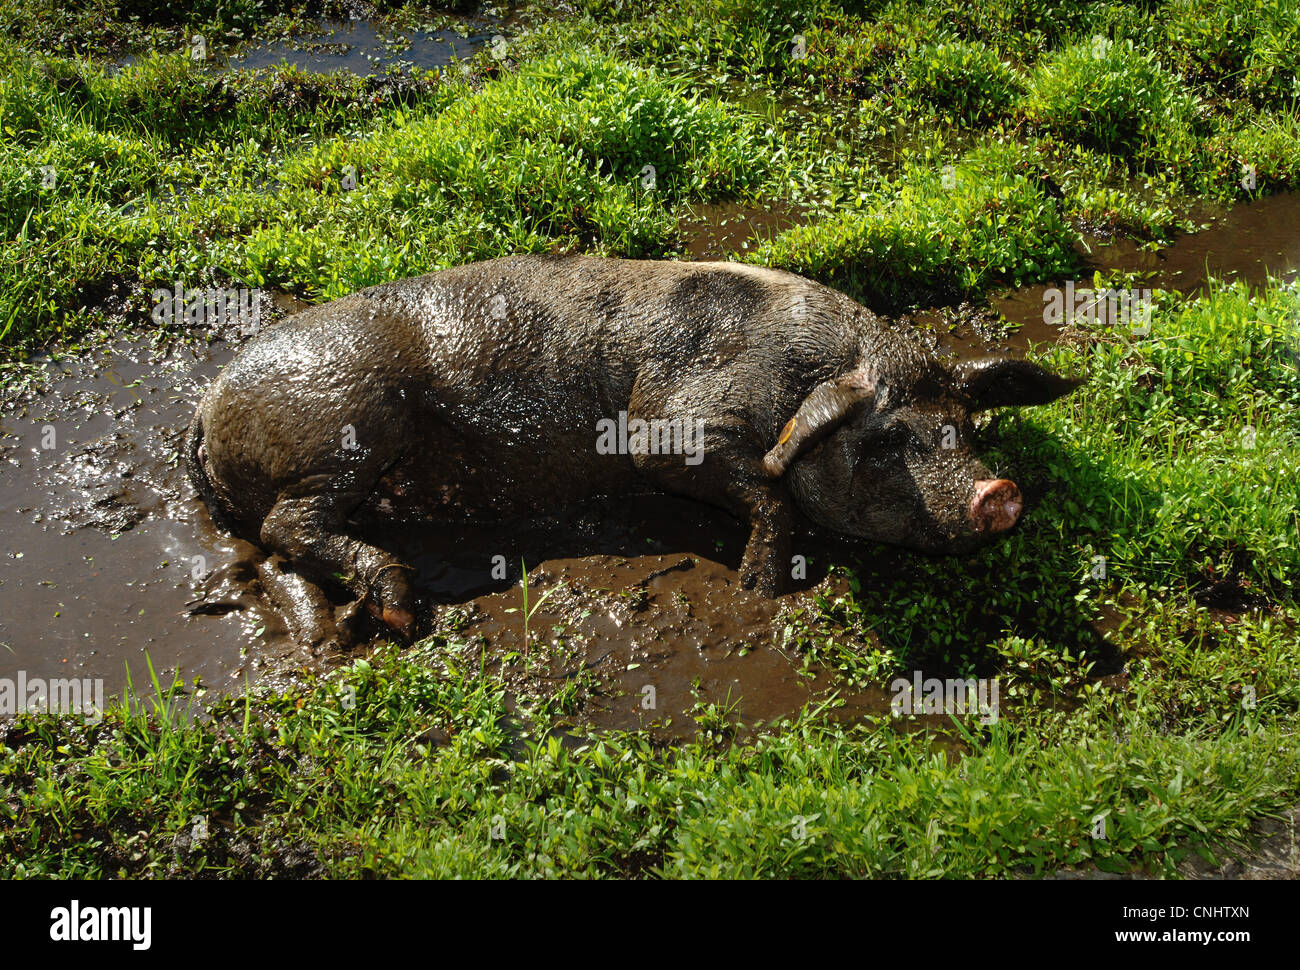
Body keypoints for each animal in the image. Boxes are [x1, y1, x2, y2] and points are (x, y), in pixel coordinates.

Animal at [186, 255, 1081, 648]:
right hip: (346, 428)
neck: (796, 377)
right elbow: (768, 489)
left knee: (273, 547)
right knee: (285, 527)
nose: (999, 492)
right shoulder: (669, 426)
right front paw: (759, 591)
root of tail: (208, 403)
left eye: (966, 425)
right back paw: (403, 610)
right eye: (889, 440)